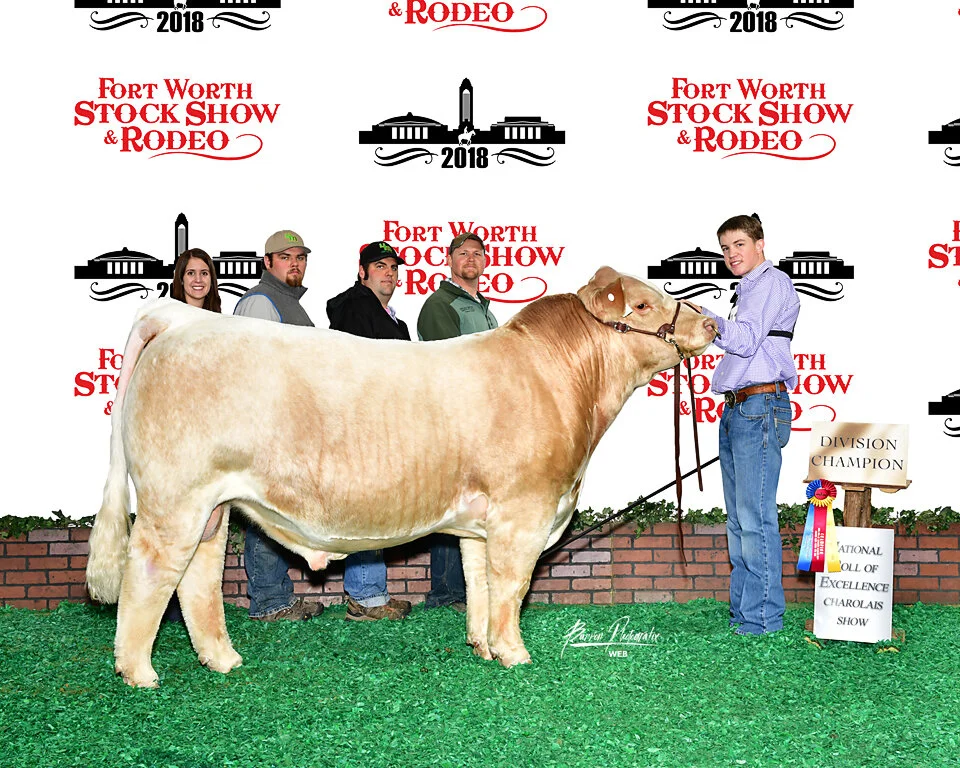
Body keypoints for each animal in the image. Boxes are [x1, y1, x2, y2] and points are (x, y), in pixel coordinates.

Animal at [86, 267, 717, 687]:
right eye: (642, 304)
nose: (710, 323)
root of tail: (179, 319)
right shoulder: (524, 510)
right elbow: (512, 585)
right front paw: (514, 654)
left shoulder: (481, 523)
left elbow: (480, 583)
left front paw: (482, 647)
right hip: (176, 499)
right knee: (150, 572)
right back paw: (138, 672)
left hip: (212, 507)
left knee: (197, 579)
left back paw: (222, 660)